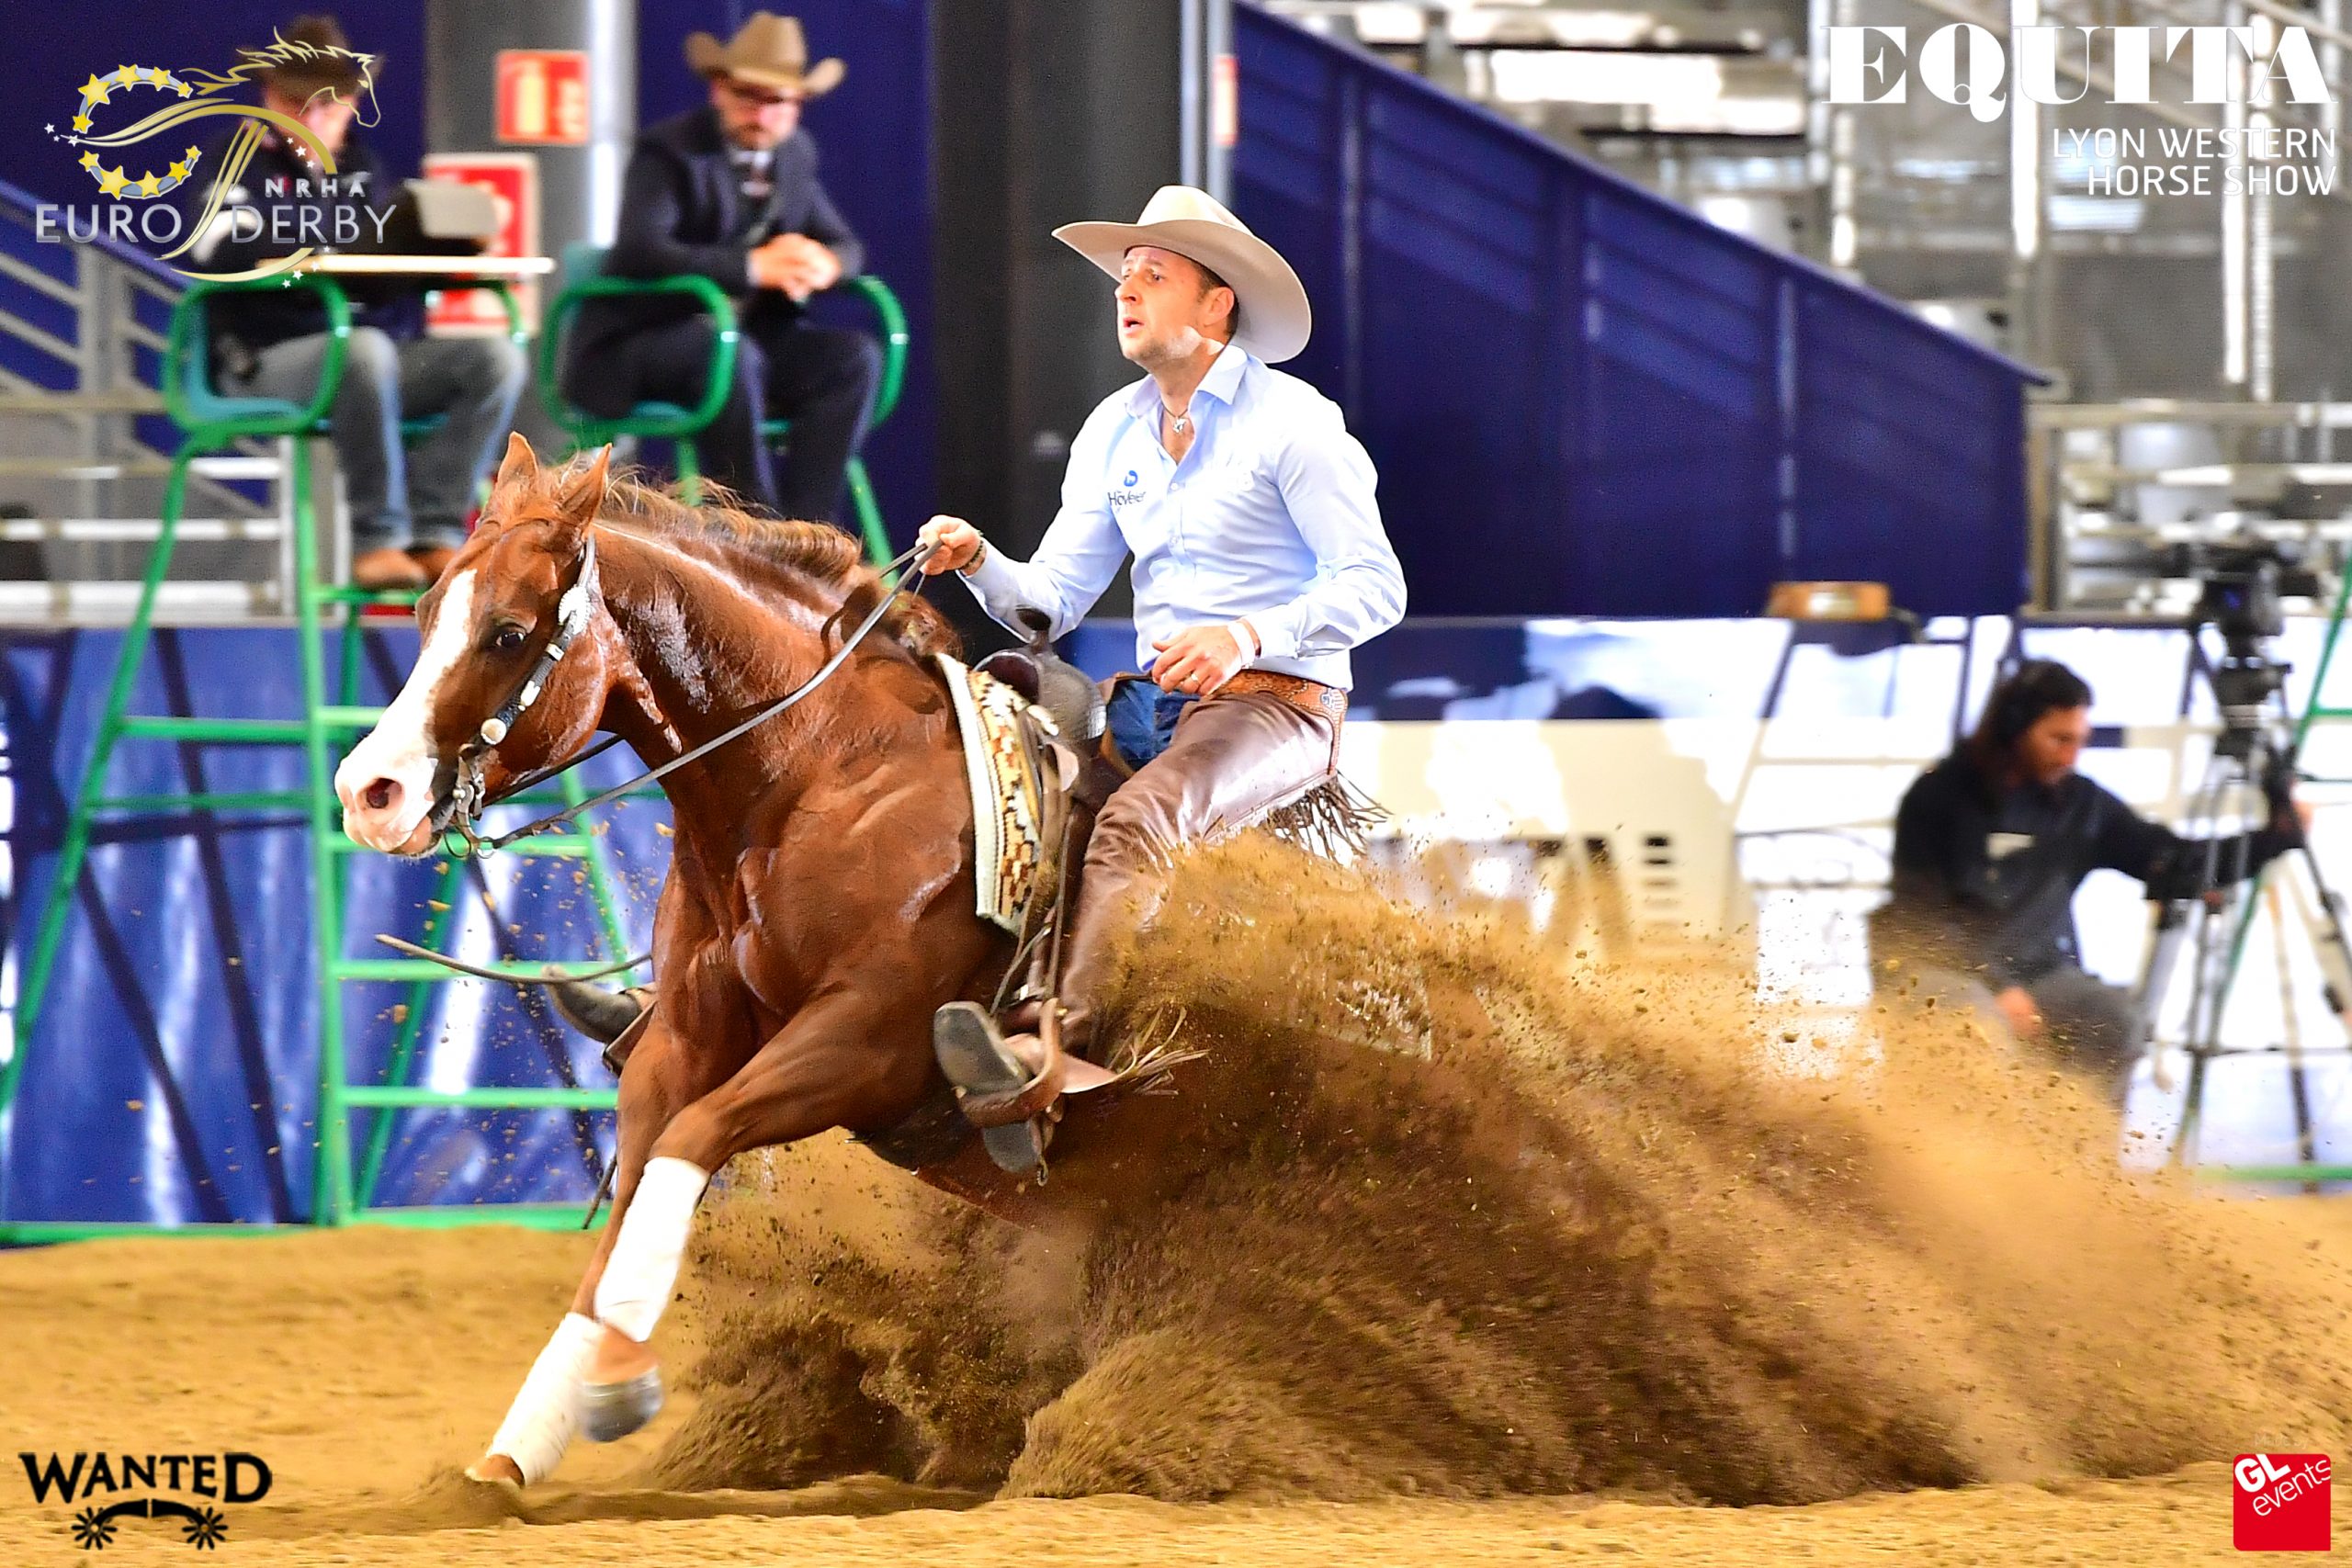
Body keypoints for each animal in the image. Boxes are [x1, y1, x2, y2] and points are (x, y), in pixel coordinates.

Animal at [333, 434, 1172, 1489]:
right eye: (423, 610)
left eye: (507, 632)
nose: (368, 791)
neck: (819, 777)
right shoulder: (682, 1043)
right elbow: (634, 1193)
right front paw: (517, 1450)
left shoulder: (867, 1045)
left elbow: (693, 1142)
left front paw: (620, 1380)